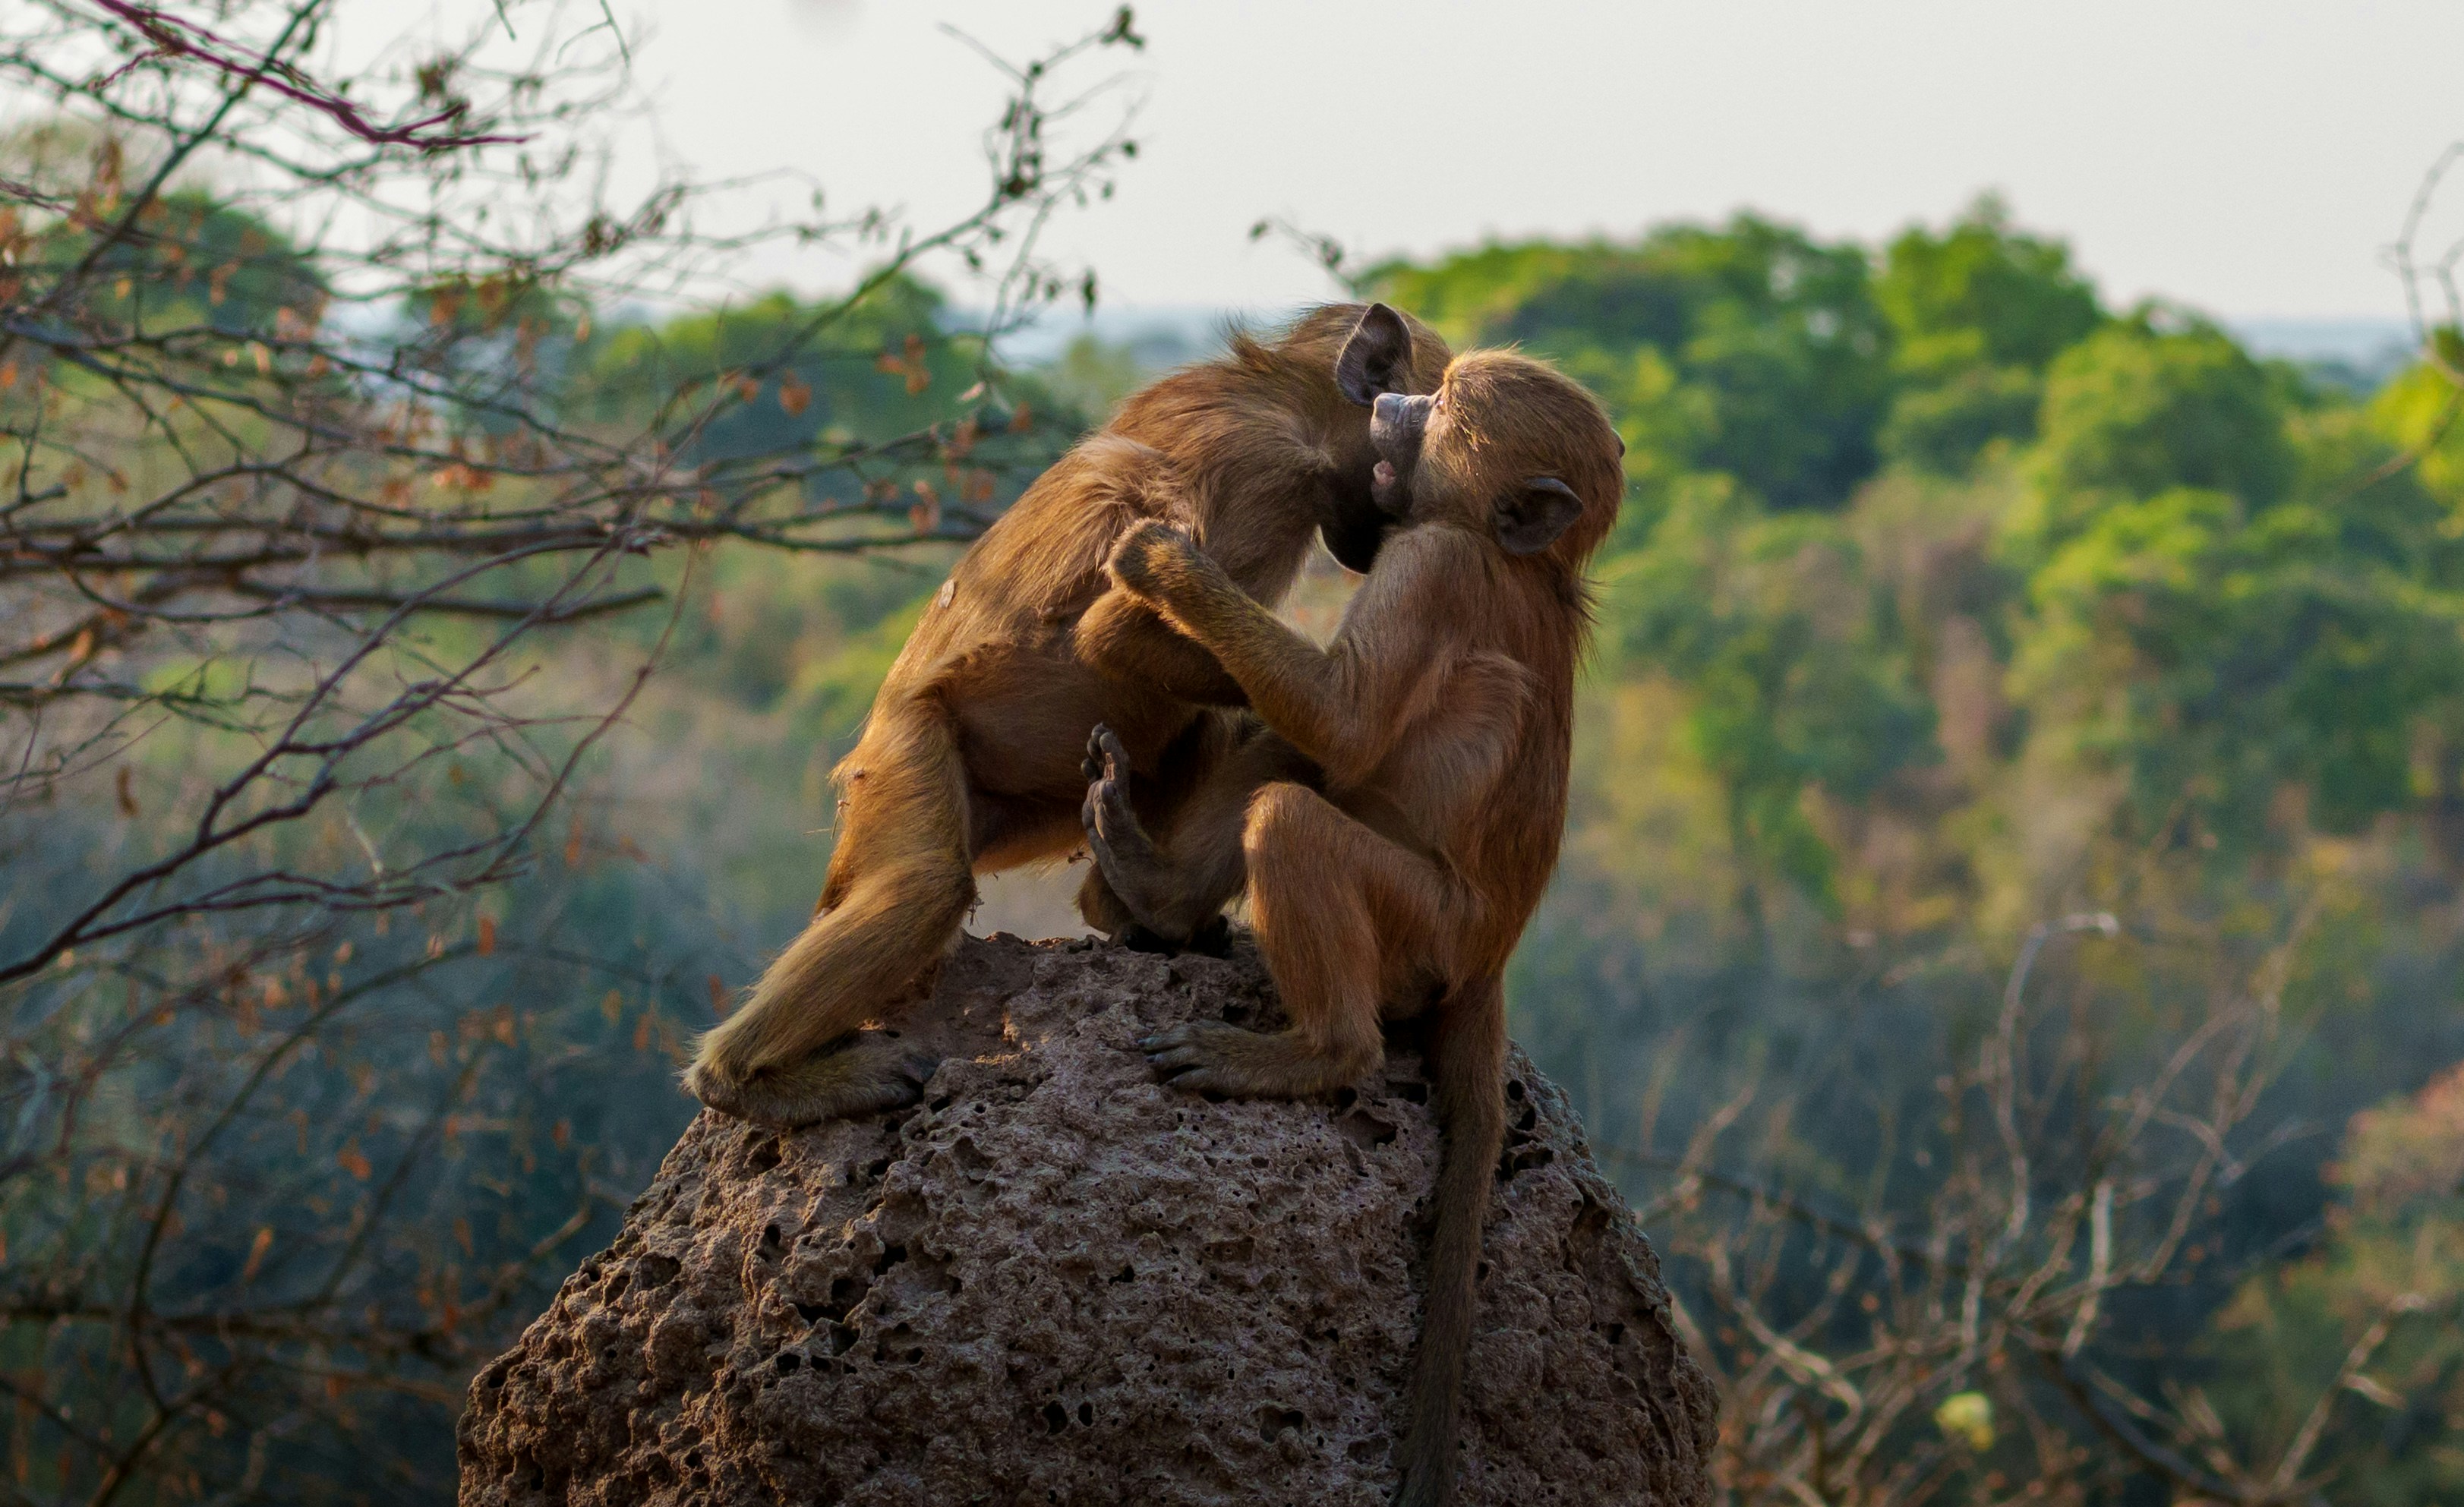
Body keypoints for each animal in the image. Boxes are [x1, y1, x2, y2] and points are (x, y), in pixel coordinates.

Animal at [682, 303, 1452, 1128]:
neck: (1288, 400)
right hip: (905, 751)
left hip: (1024, 804)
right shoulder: (1259, 473)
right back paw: (741, 1080)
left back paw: (1136, 907)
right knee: (927, 885)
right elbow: (1114, 633)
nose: (1382, 541)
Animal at [1081, 349, 1625, 1507]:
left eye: (1447, 408)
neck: (1517, 558)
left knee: (1296, 807)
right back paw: (1157, 893)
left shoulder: (1431, 562)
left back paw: (1310, 1053)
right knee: (1286, 754)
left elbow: (1340, 717)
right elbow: (1321, 727)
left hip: (1421, 935)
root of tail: (1492, 956)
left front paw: (1159, 564)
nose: (1392, 402)